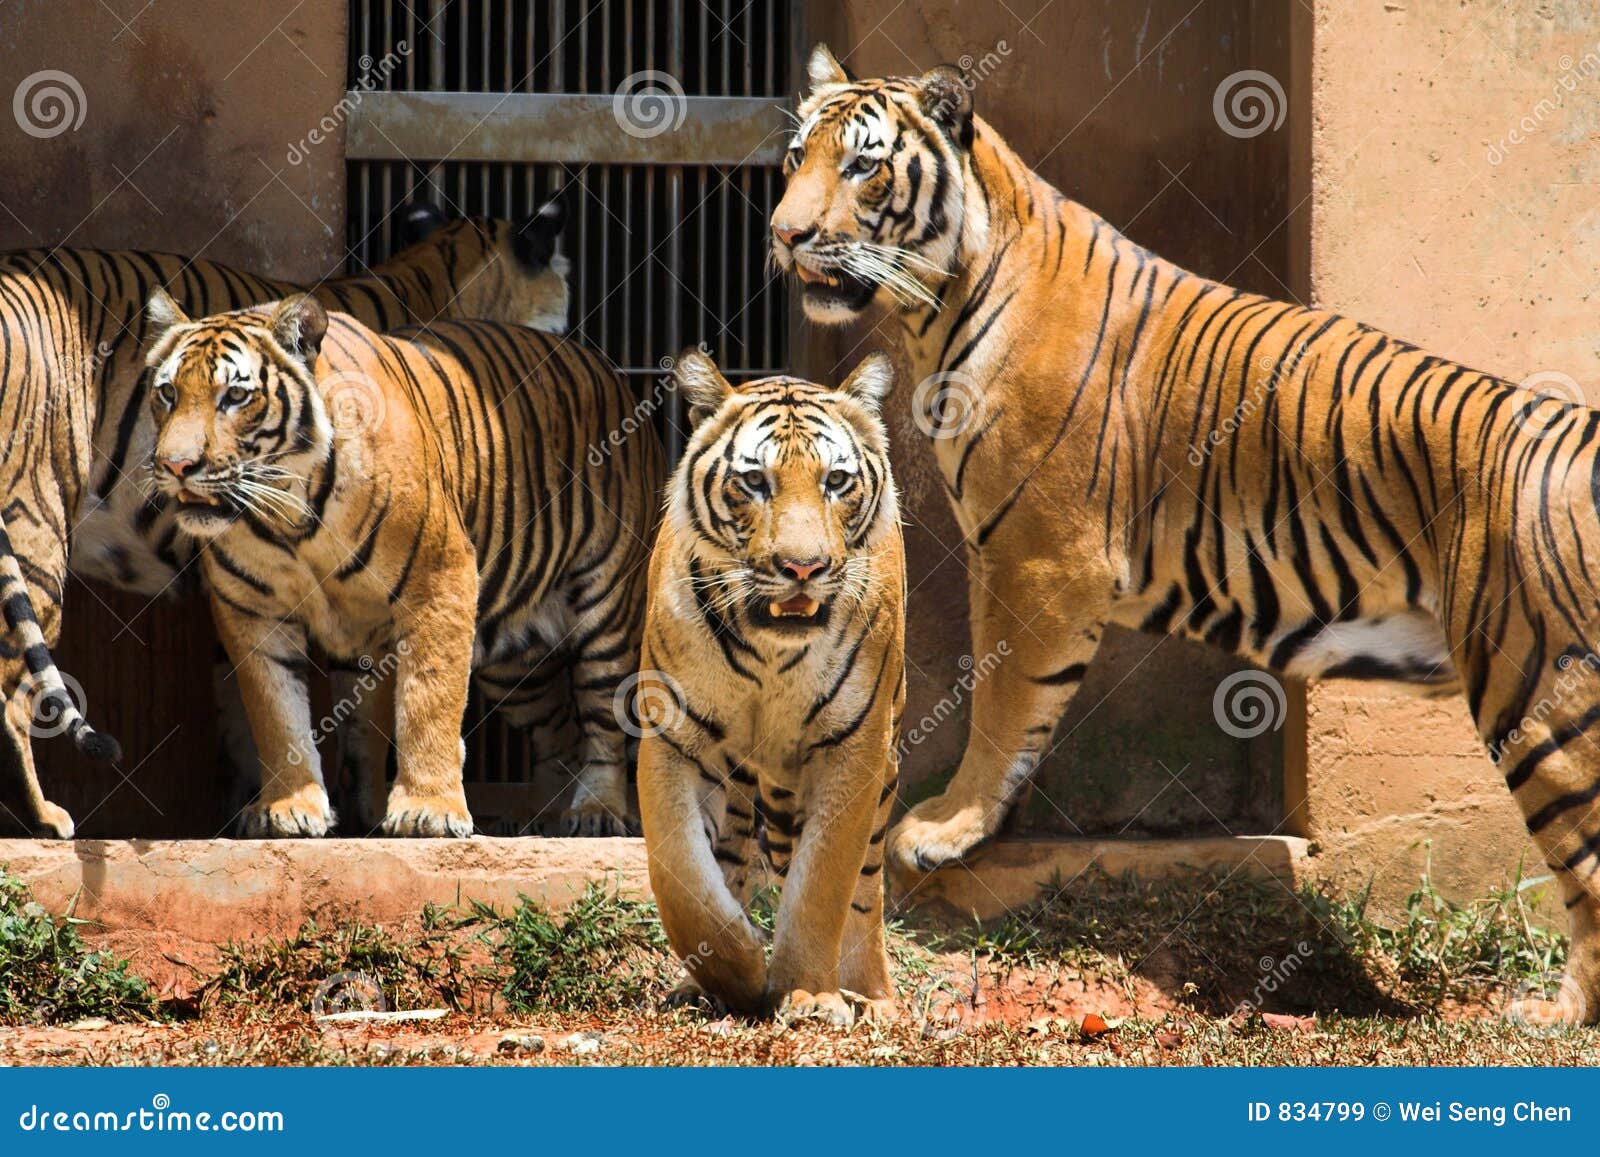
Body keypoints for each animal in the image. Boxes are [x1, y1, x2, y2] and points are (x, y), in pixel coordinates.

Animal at [142, 293, 662, 839]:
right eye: (168, 393)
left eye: (236, 397)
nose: (176, 466)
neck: (290, 517)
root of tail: (608, 369)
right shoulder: (250, 609)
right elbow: (276, 712)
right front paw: (289, 809)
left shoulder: (440, 577)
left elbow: (429, 697)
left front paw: (428, 811)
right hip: (514, 663)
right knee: (558, 732)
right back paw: (546, 820)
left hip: (608, 608)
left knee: (604, 721)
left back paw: (597, 812)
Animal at [636, 350, 904, 1025]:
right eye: (755, 481)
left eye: (836, 481)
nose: (802, 568)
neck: (770, 655)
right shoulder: (673, 742)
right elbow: (684, 877)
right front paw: (738, 973)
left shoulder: (853, 750)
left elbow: (823, 886)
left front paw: (807, 993)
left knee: (865, 889)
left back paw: (872, 996)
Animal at [773, 44, 1600, 1025]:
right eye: (796, 159)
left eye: (862, 165)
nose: (783, 234)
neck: (938, 306)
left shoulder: (1038, 555)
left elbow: (1003, 702)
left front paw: (942, 830)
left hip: (1540, 694)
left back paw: (1552, 1014)